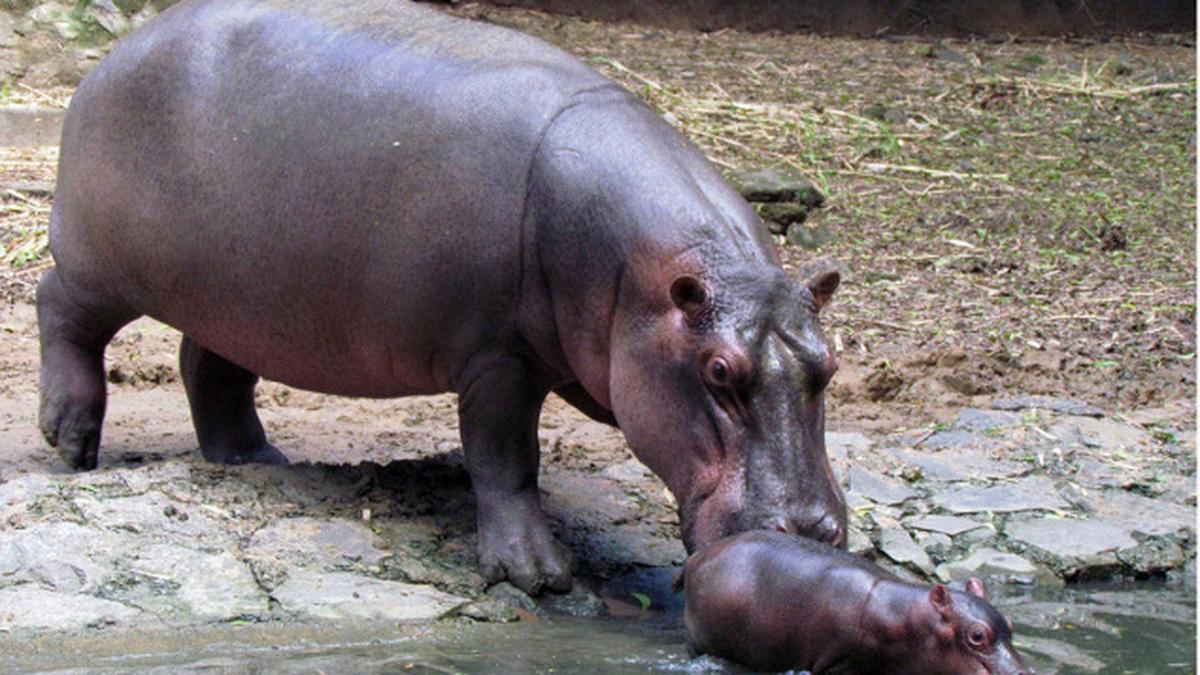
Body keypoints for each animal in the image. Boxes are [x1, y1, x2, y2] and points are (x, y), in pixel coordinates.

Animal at [37, 0, 846, 594]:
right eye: (719, 372)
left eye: (830, 365)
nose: (814, 533)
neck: (639, 280)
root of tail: (118, 51)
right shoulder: (496, 357)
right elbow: (504, 456)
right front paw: (537, 575)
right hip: (100, 267)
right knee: (62, 313)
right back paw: (72, 440)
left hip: (237, 299)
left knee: (209, 366)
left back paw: (255, 459)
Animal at [683, 530, 1033, 674]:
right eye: (977, 636)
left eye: (1010, 625)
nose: (1024, 673)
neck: (906, 616)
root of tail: (696, 558)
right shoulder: (840, 662)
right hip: (704, 641)